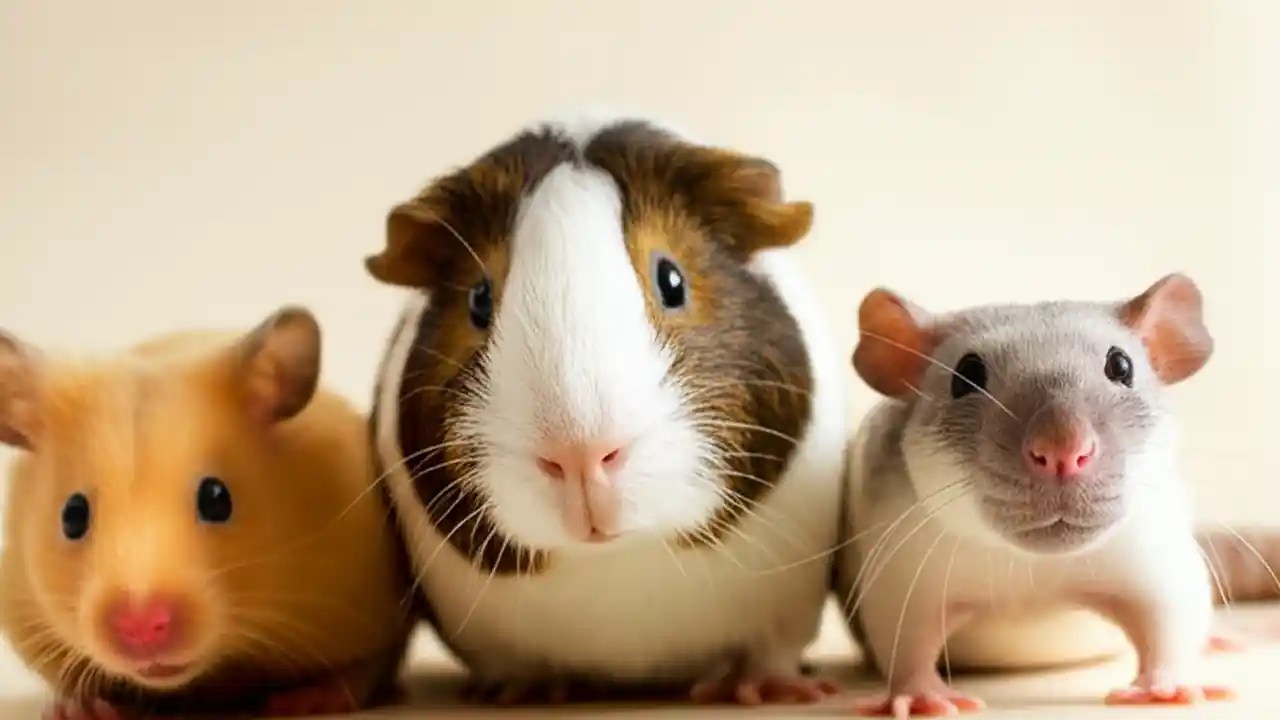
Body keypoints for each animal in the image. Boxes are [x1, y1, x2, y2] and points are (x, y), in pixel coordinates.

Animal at [0, 307, 414, 719]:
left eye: (217, 499)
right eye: (72, 516)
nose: (142, 628)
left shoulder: (370, 604)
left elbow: (363, 667)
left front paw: (300, 702)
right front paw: (82, 708)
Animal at [366, 113, 849, 705]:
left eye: (672, 280)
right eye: (479, 299)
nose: (580, 457)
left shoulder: (789, 604)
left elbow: (769, 650)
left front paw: (770, 691)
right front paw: (524, 692)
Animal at [833, 274, 1280, 717]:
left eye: (1121, 366)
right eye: (966, 375)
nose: (1062, 448)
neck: (1033, 565)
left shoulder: (1145, 535)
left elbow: (1170, 603)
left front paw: (1164, 683)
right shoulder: (906, 542)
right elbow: (903, 624)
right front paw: (919, 692)